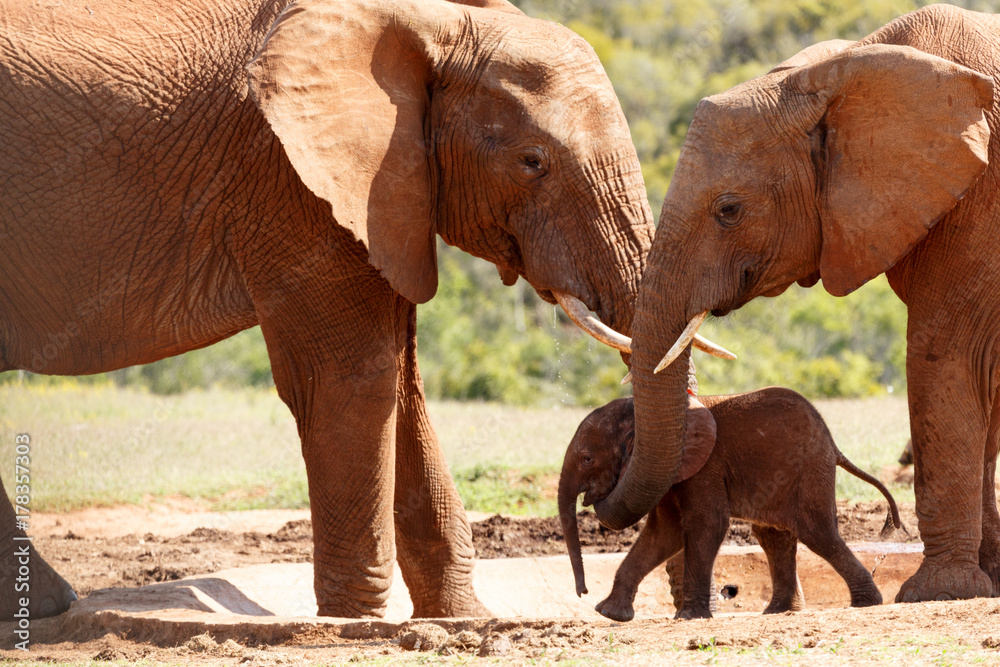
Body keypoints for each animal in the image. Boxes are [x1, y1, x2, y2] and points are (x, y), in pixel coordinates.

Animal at [0, 0, 707, 621]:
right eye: (532, 163)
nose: (591, 593)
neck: (432, 24)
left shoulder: (385, 190)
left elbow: (402, 384)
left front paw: (461, 619)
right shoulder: (290, 176)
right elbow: (356, 378)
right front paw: (354, 622)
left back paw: (47, 605)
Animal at [561, 390, 902, 620]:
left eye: (587, 459)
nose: (582, 591)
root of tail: (833, 445)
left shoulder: (704, 469)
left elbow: (705, 524)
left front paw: (689, 617)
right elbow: (664, 534)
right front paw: (609, 613)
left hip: (809, 470)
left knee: (817, 533)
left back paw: (866, 602)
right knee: (773, 536)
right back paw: (777, 611)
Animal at [594, 3, 1000, 604]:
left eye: (729, 210)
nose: (597, 502)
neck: (842, 69)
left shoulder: (980, 205)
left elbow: (944, 353)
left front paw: (938, 592)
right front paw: (988, 583)